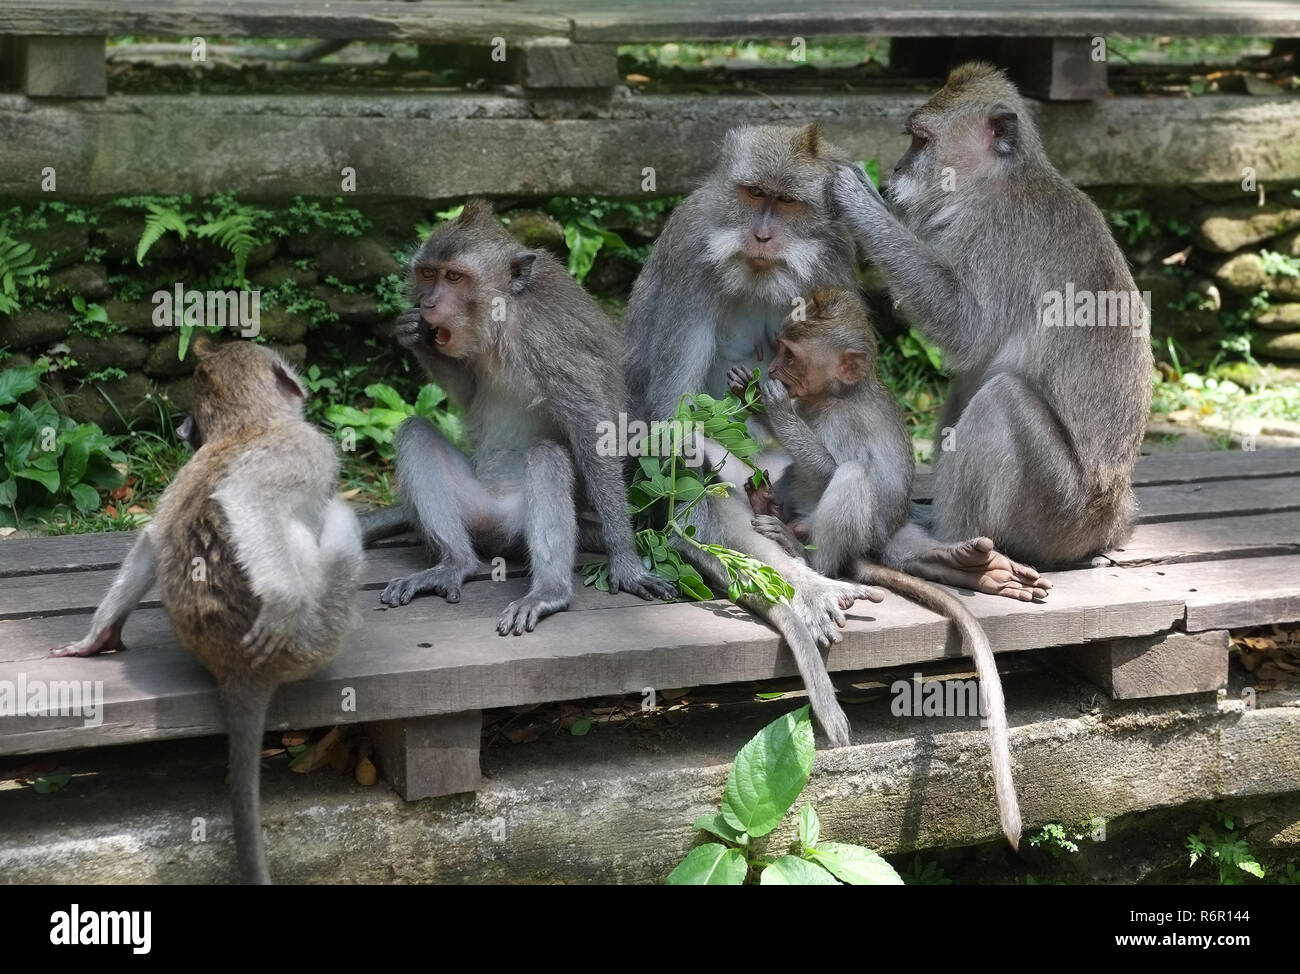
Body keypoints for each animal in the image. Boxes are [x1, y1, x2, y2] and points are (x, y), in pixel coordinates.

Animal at [50, 340, 363, 885]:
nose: (182, 429)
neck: (248, 425)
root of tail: (238, 669)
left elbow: (152, 541)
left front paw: (97, 635)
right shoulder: (307, 446)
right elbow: (247, 496)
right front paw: (281, 599)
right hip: (320, 631)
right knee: (335, 521)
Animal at [368, 199, 674, 635]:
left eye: (454, 277)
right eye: (428, 274)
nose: (427, 304)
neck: (504, 321)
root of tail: (498, 529)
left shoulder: (549, 341)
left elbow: (592, 429)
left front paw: (626, 562)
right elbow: (467, 395)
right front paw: (412, 332)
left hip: (522, 523)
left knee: (548, 456)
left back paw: (549, 591)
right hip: (474, 510)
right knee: (414, 432)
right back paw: (454, 563)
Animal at [623, 123, 885, 749]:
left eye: (786, 203)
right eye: (753, 194)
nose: (762, 235)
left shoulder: (831, 260)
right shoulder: (690, 257)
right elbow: (673, 425)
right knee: (696, 489)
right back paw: (800, 585)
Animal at [727, 288, 1021, 849]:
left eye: (790, 355)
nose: (770, 369)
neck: (829, 399)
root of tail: (869, 544)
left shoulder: (848, 421)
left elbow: (834, 468)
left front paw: (774, 408)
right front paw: (747, 393)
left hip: (855, 531)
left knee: (850, 477)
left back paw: (805, 554)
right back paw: (772, 509)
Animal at [831, 62, 1152, 596]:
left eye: (919, 142)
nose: (894, 170)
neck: (1000, 178)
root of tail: (1108, 522)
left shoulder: (997, 233)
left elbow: (967, 329)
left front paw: (858, 200)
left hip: (1057, 510)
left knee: (1001, 398)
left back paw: (952, 549)